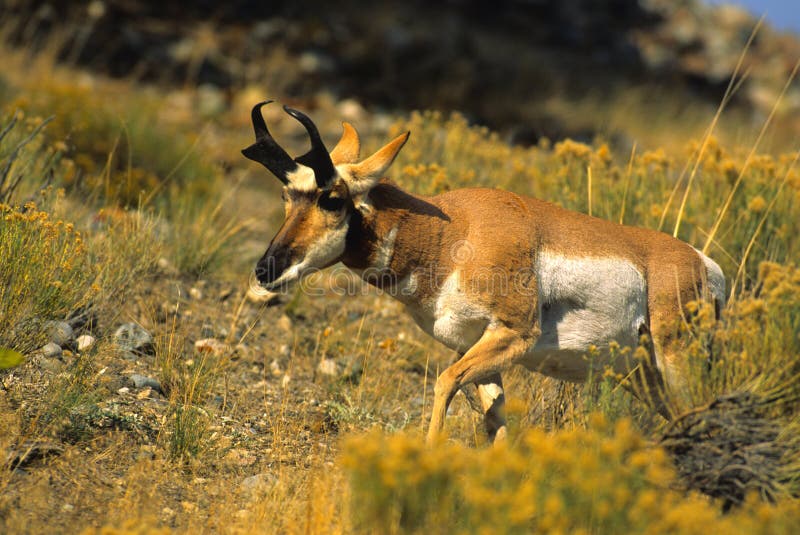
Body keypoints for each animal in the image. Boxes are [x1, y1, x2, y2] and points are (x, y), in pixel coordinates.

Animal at [243, 101, 726, 443]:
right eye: (287, 196)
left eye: (332, 199)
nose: (266, 270)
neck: (455, 231)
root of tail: (702, 262)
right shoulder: (475, 348)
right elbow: (496, 422)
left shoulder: (513, 334)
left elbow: (444, 383)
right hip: (645, 377)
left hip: (675, 359)